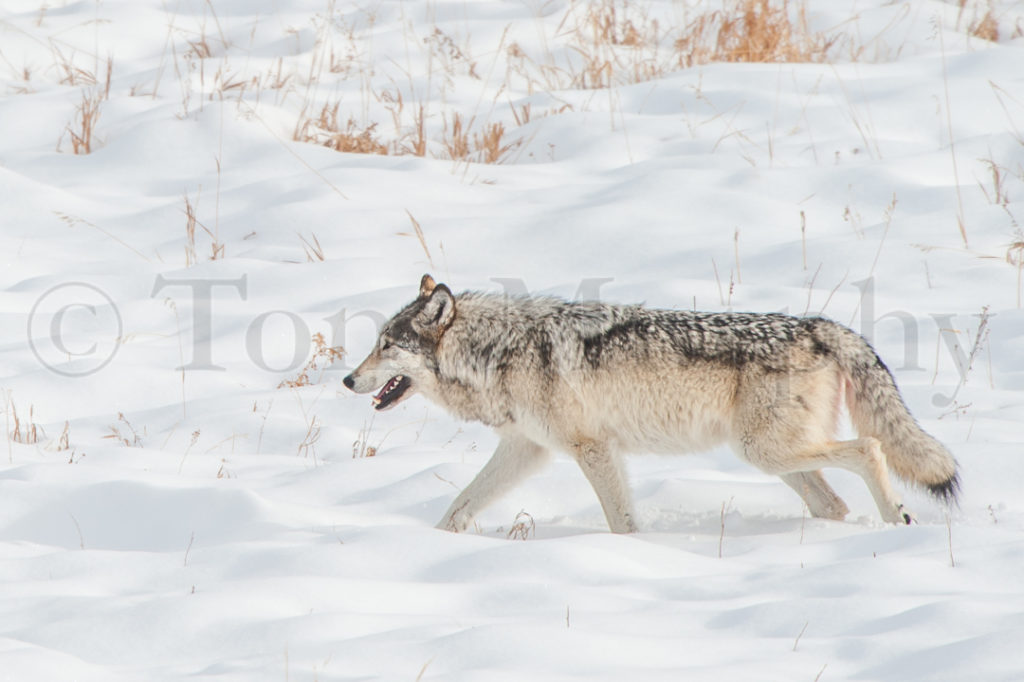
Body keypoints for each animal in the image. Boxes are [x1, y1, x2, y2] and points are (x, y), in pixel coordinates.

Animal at [343, 275, 959, 533]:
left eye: (387, 345)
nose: (348, 379)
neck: (498, 350)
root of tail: (822, 326)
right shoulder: (526, 449)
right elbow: (458, 507)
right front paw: (436, 544)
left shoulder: (593, 449)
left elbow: (621, 522)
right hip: (772, 459)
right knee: (833, 503)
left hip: (770, 452)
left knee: (871, 448)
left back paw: (897, 522)